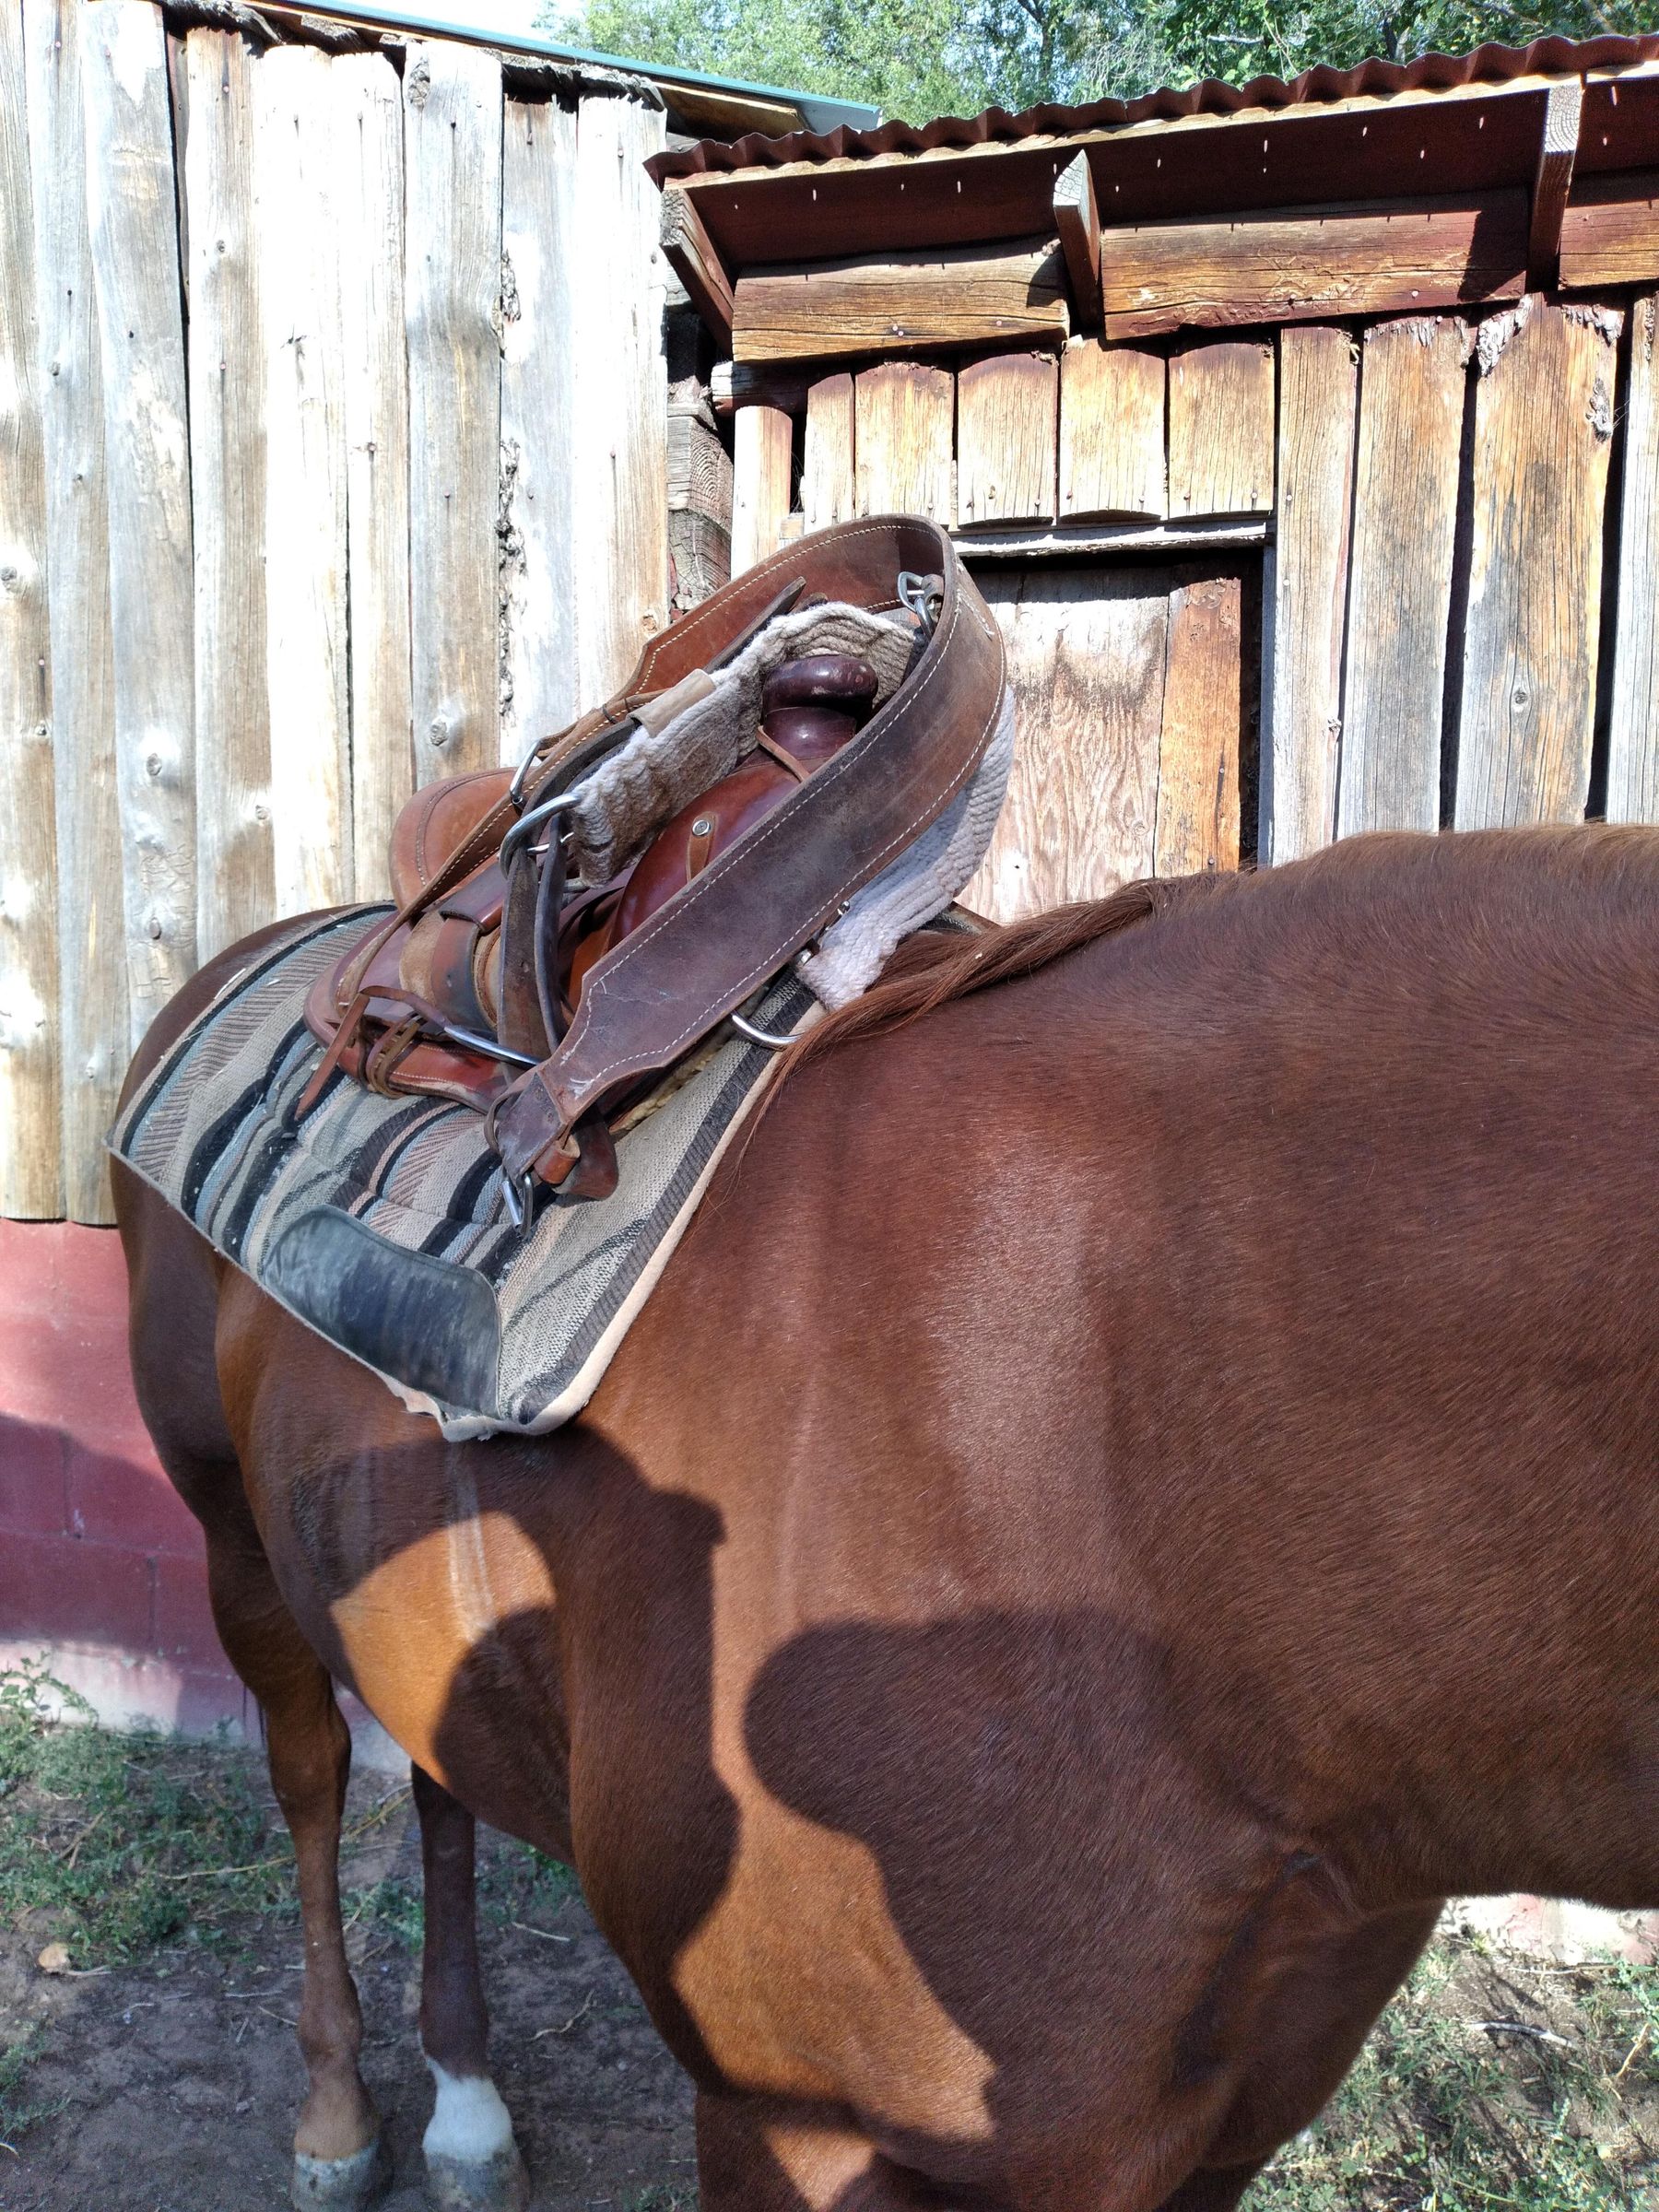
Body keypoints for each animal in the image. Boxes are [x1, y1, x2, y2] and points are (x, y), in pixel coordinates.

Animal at [113, 823, 1659, 2212]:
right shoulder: (796, 2126)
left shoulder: (1220, 2134)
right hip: (233, 1544)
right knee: (312, 1777)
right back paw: (338, 2119)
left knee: (437, 1775)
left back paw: (470, 2112)